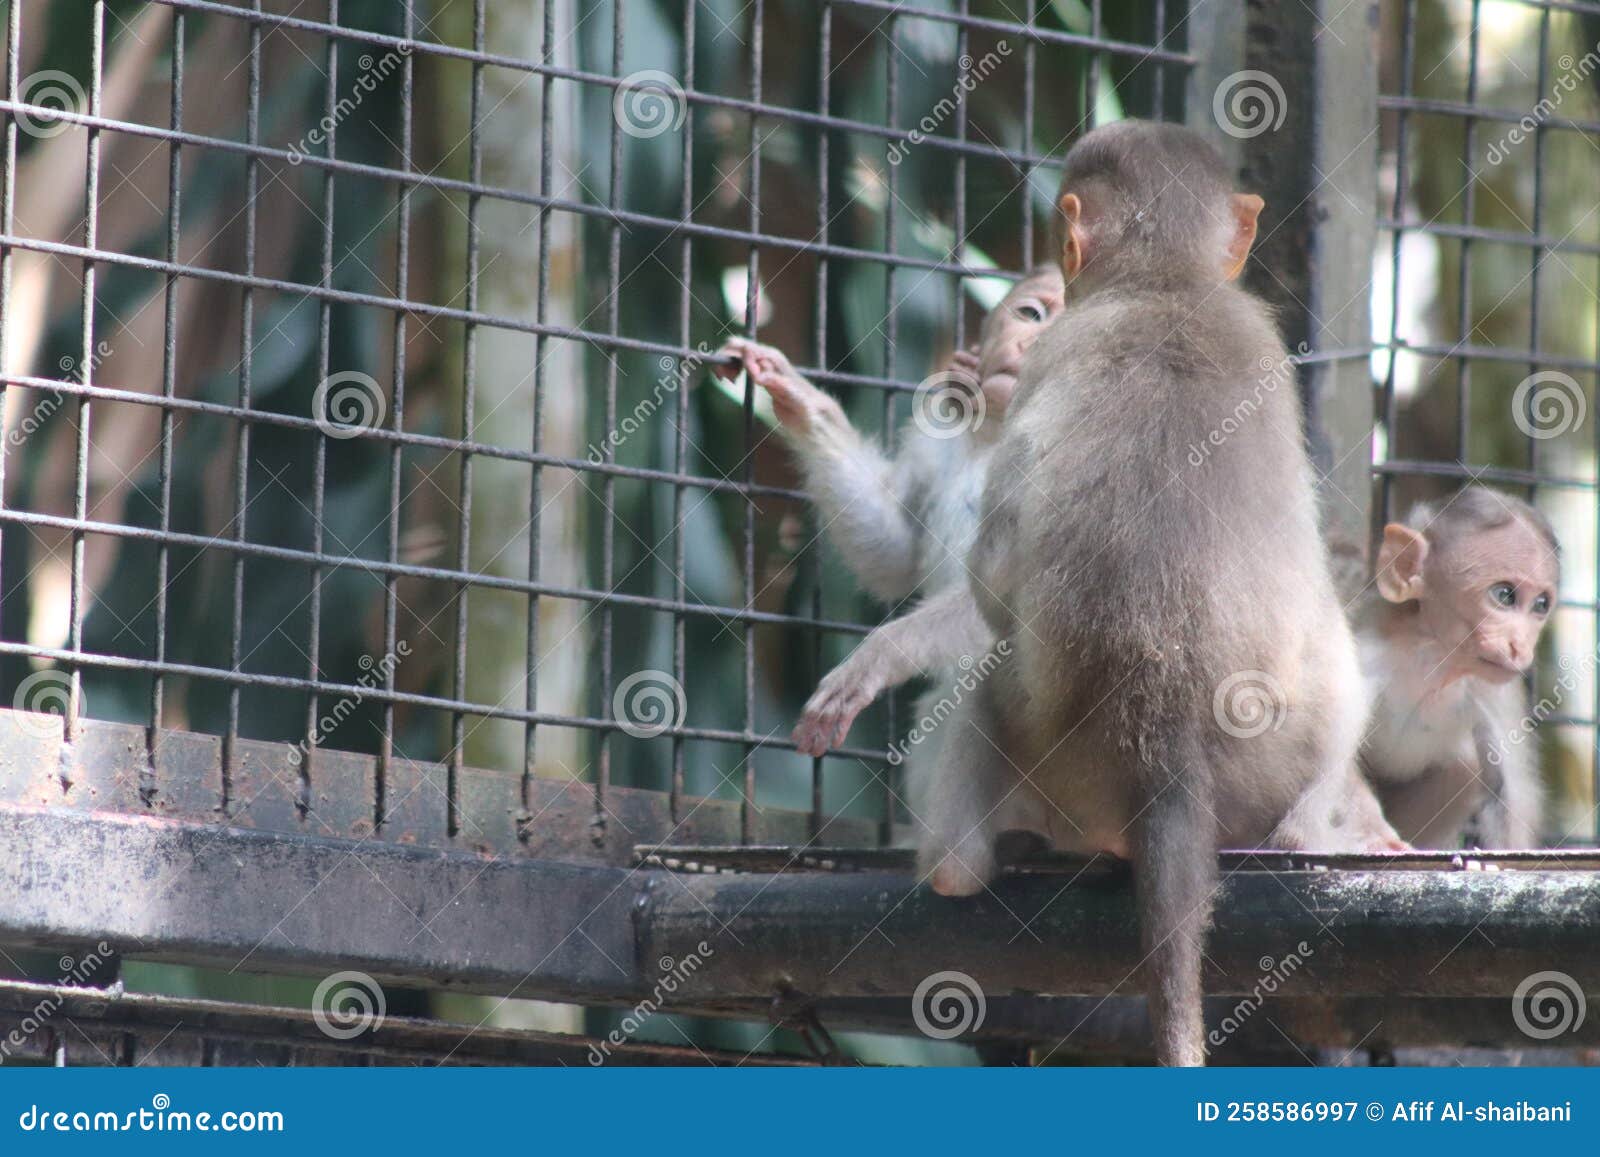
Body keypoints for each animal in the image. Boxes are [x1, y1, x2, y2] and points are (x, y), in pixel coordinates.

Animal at [924, 120, 1374, 1066]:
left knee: (983, 684)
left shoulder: (1054, 356)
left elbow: (994, 575)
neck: (1163, 282)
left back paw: (957, 869)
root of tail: (1165, 750)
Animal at [1347, 487, 1559, 849]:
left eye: (1541, 604)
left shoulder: (1495, 688)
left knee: (1466, 767)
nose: (1520, 646)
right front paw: (1376, 839)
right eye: (1505, 595)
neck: (1434, 657)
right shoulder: (1365, 653)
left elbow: (1511, 787)